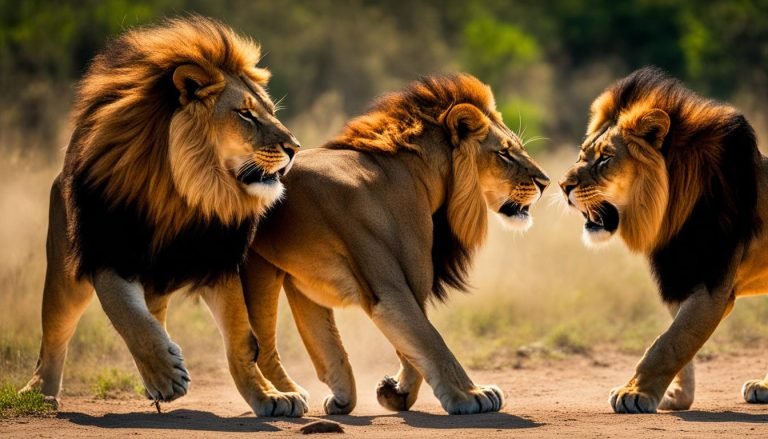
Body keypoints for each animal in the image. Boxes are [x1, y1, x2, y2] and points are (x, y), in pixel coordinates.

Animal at [20, 17, 309, 417]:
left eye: (271, 111)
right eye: (245, 114)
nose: (294, 148)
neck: (182, 190)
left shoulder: (219, 263)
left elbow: (241, 340)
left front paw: (268, 396)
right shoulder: (105, 250)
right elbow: (128, 316)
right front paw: (165, 376)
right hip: (65, 273)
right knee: (56, 329)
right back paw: (39, 392)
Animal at [239, 74, 550, 415]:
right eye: (504, 153)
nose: (546, 182)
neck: (418, 175)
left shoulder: (306, 285)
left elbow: (332, 344)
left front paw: (363, 395)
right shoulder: (391, 287)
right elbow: (428, 340)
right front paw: (469, 395)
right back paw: (276, 399)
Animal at [559, 66, 767, 413]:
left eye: (604, 159)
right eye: (581, 155)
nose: (562, 186)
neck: (668, 210)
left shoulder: (712, 284)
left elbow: (670, 343)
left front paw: (634, 393)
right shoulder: (678, 275)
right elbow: (680, 345)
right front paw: (677, 397)